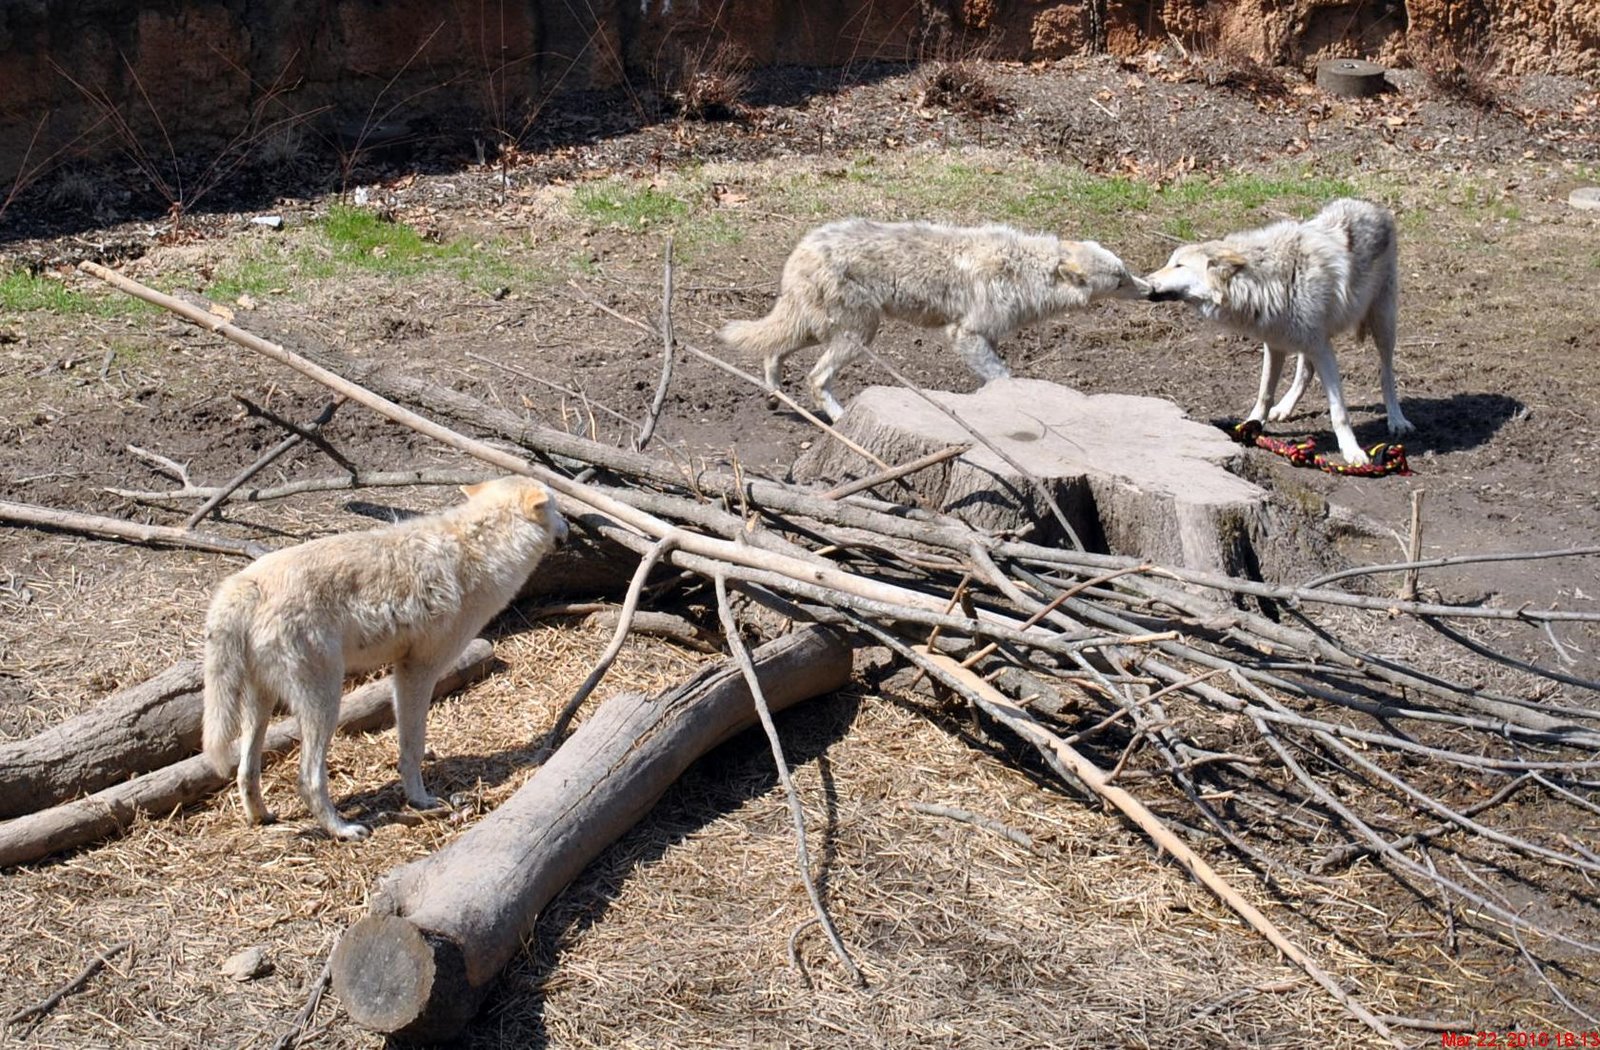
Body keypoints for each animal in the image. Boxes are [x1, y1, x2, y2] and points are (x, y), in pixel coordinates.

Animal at [202, 476, 568, 840]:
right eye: (556, 507)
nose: (567, 525)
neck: (478, 551)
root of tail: (244, 584)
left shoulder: (402, 671)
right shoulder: (417, 671)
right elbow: (412, 747)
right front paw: (420, 800)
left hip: (261, 703)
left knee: (245, 772)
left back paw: (262, 817)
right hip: (324, 701)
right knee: (308, 779)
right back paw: (343, 829)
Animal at [719, 218, 1152, 421]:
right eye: (1121, 280)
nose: (1149, 290)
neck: (1029, 272)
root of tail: (801, 250)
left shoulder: (986, 338)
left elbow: (994, 377)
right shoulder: (965, 334)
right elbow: (1004, 377)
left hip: (820, 330)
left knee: (772, 353)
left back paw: (776, 395)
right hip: (858, 336)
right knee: (814, 378)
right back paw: (839, 419)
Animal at [1145, 197, 1415, 465]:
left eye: (1179, 265)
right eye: (1170, 263)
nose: (1146, 280)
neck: (1268, 280)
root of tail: (1371, 205)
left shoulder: (1320, 347)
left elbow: (1339, 411)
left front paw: (1352, 451)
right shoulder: (1276, 345)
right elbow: (1264, 393)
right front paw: (1250, 426)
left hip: (1382, 325)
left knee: (1385, 374)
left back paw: (1397, 420)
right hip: (1311, 341)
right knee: (1305, 372)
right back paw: (1285, 408)